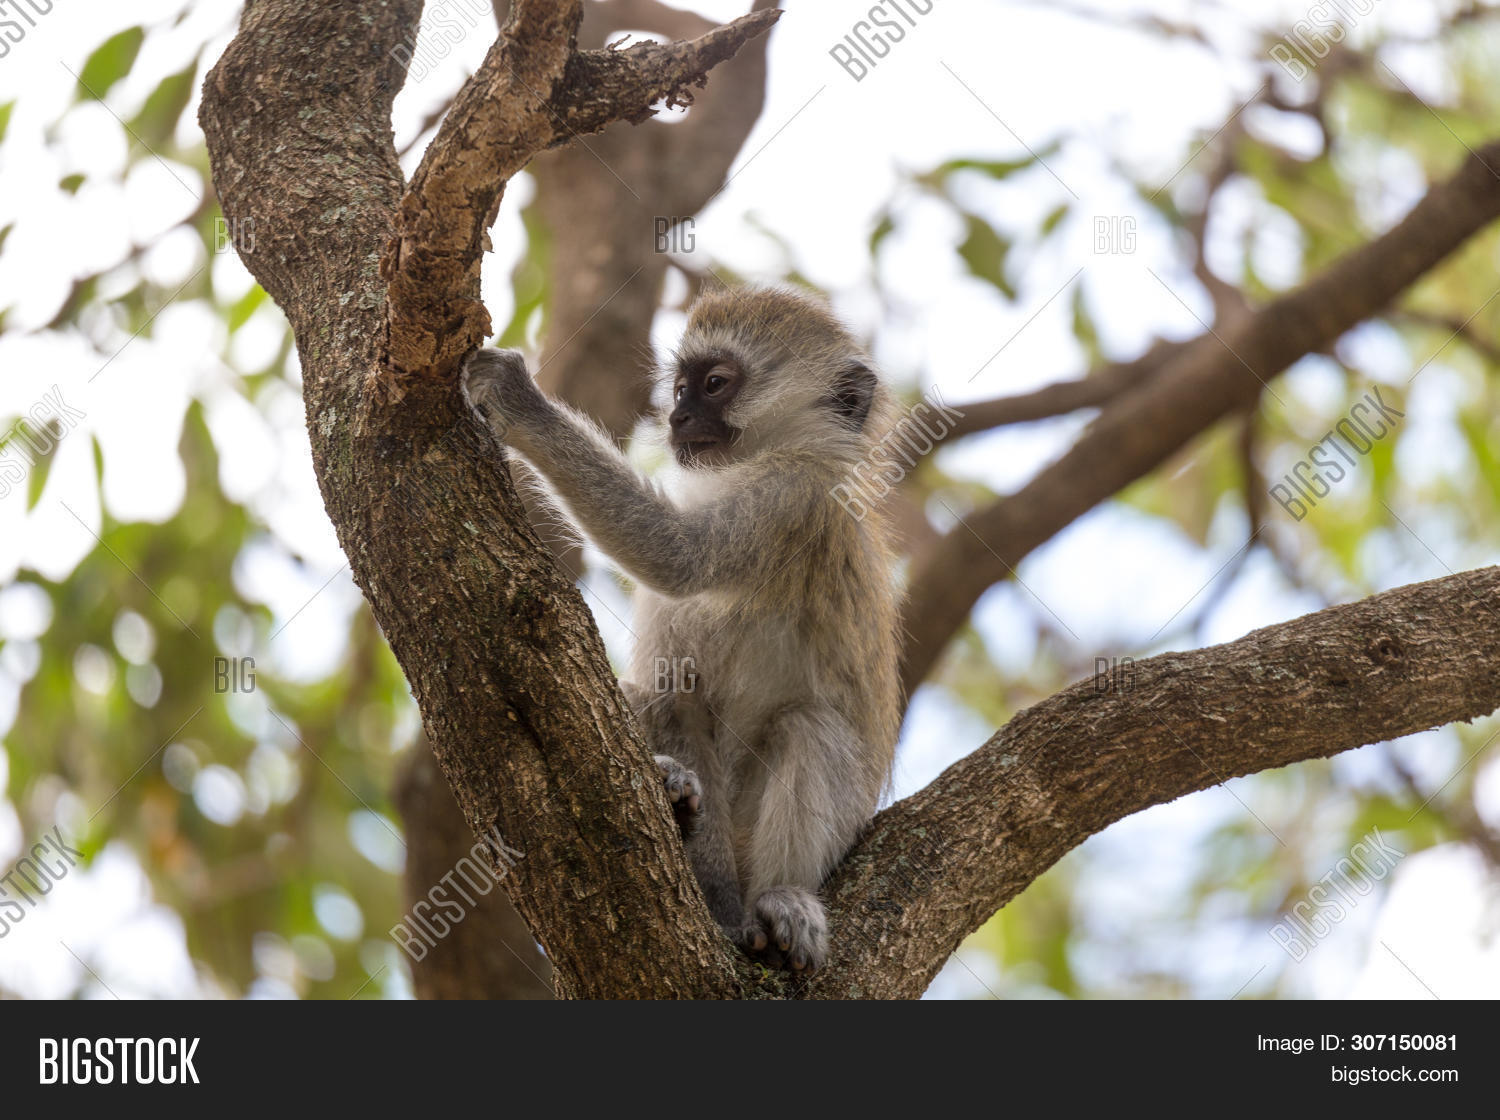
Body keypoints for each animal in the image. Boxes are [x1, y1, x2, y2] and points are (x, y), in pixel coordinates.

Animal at [460, 286, 902, 972]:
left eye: (715, 384)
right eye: (679, 389)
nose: (675, 418)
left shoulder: (792, 493)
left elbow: (678, 556)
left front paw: (519, 400)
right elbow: (674, 681)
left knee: (810, 727)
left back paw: (774, 904)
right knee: (658, 697)